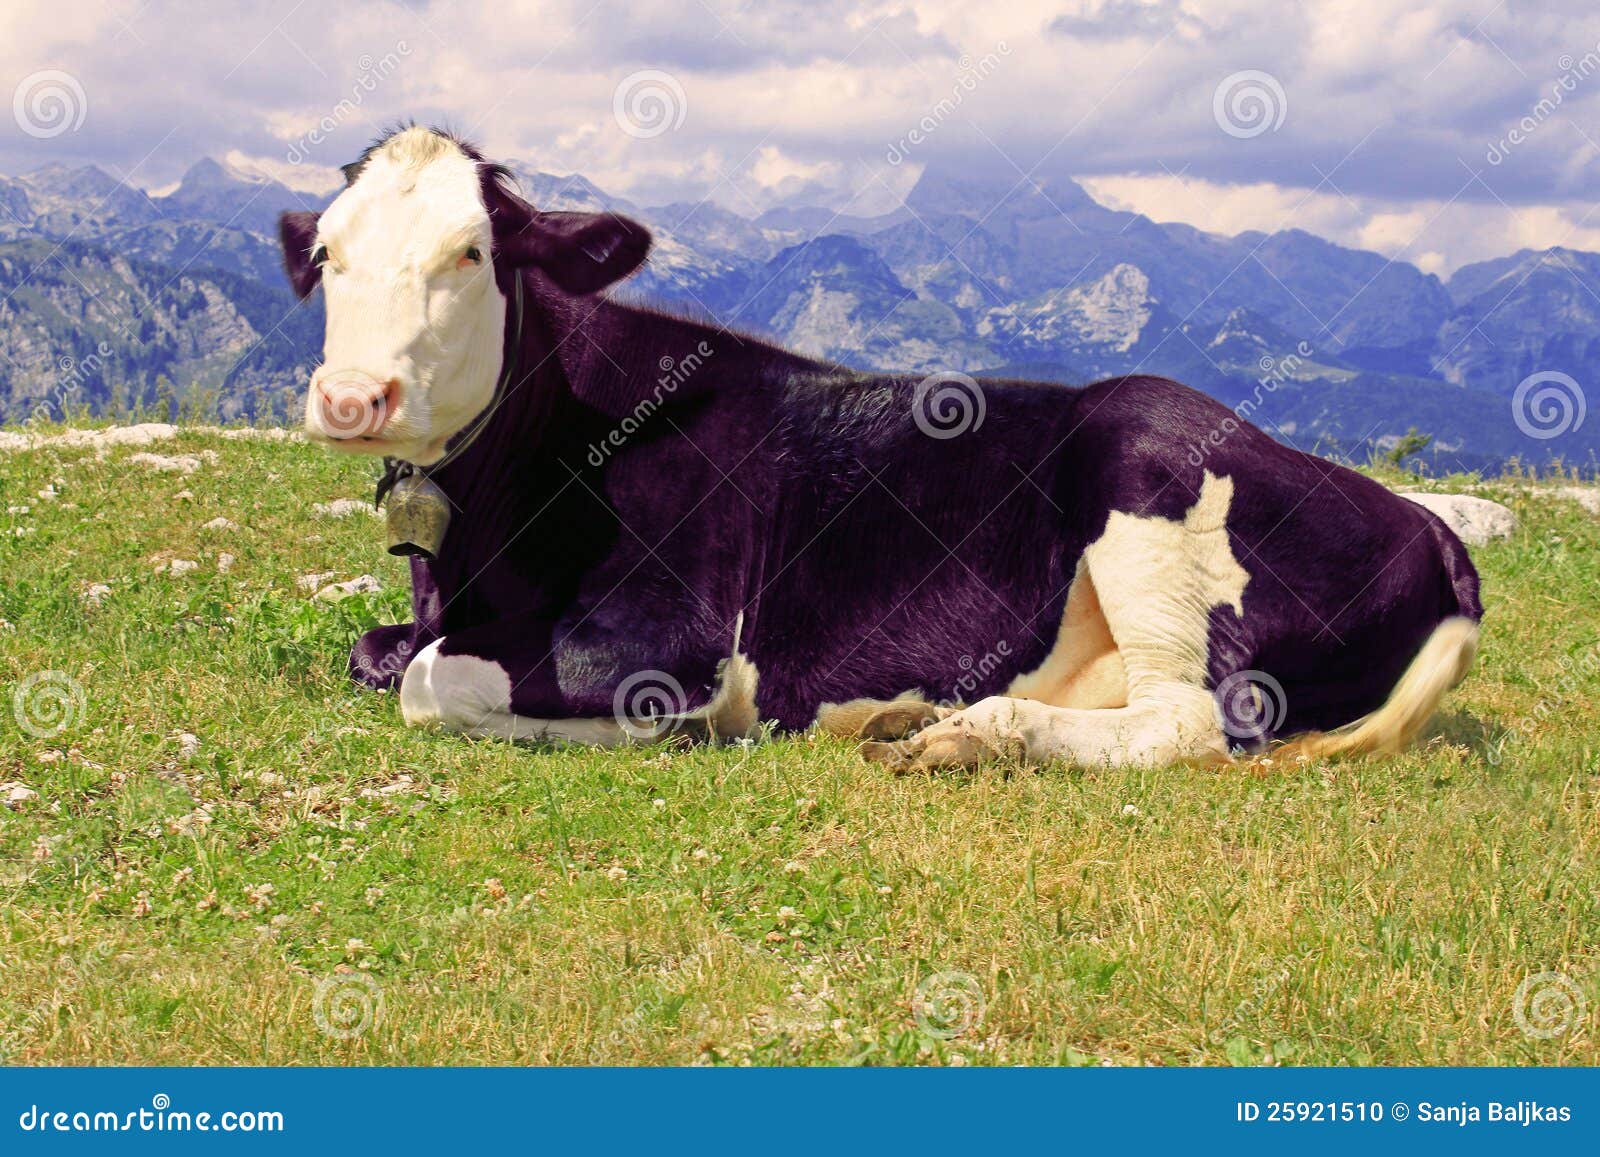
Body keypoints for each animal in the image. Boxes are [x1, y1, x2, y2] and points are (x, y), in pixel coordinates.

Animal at [278, 125, 1481, 771]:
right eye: (326, 253)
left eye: (470, 252)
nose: (351, 394)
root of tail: (1430, 527)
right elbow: (380, 650)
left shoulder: (665, 636)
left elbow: (429, 680)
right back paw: (924, 715)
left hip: (1149, 453)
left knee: (1185, 721)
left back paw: (966, 735)